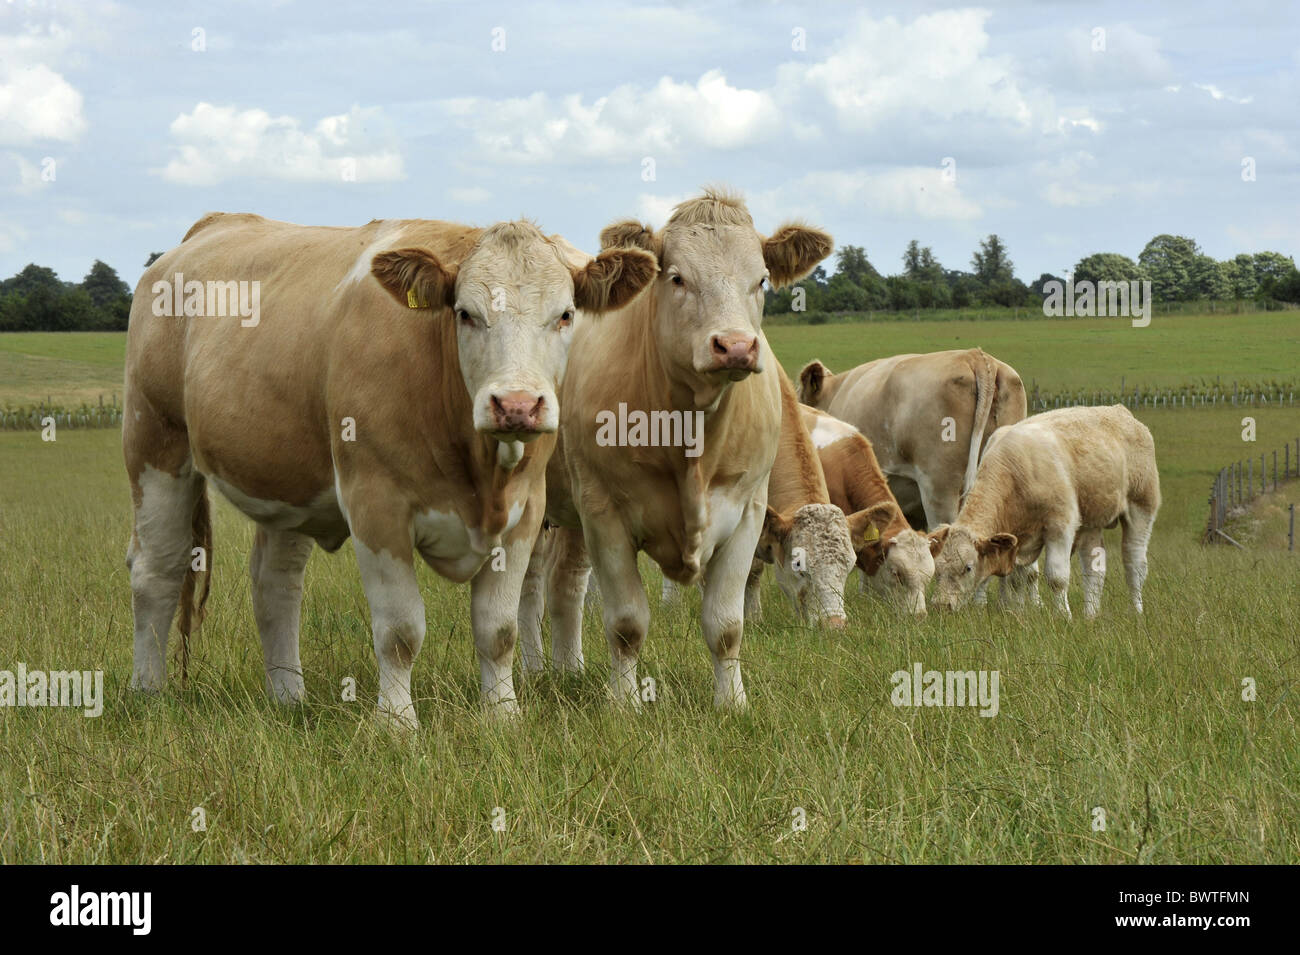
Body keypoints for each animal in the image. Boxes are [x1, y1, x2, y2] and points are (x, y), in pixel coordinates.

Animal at [123, 212, 656, 729]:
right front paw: (398, 723)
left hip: (285, 482)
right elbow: (400, 630)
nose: (517, 405)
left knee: (275, 584)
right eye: (466, 314)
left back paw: (289, 698)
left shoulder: (525, 513)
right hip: (156, 445)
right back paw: (149, 692)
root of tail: (211, 226)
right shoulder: (375, 505)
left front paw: (502, 716)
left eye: (566, 315)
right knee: (157, 571)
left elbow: (498, 629)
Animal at [516, 188, 832, 707]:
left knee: (565, 584)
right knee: (531, 586)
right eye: (678, 278)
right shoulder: (604, 513)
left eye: (761, 280)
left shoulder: (747, 512)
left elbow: (727, 626)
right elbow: (626, 624)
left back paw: (568, 670)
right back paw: (535, 667)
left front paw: (732, 702)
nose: (735, 346)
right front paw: (623, 704)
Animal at [928, 405, 1160, 619]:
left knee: (1134, 563)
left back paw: (1136, 611)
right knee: (1094, 568)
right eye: (937, 568)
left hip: (1142, 506)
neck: (1017, 470)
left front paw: (1063, 616)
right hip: (1091, 523)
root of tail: (1120, 411)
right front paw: (1017, 611)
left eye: (967, 567)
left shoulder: (1060, 526)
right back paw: (1090, 615)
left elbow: (1057, 577)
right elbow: (1016, 578)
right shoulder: (1017, 539)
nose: (941, 606)